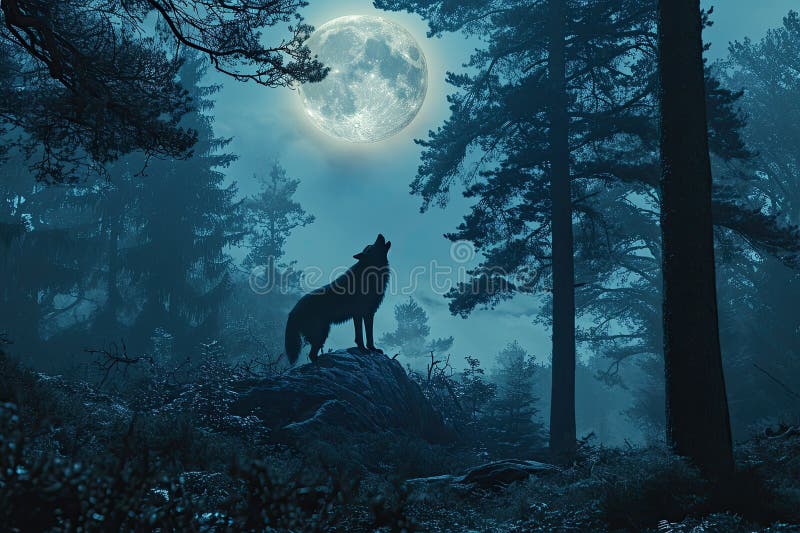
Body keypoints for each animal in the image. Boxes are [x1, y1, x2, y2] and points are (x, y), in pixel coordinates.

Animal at [284, 234, 391, 364]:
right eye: (372, 245)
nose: (380, 234)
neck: (370, 275)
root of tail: (292, 311)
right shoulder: (359, 314)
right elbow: (360, 336)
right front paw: (363, 349)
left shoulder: (369, 314)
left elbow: (369, 336)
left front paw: (372, 349)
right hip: (321, 334)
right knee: (312, 355)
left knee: (312, 355)